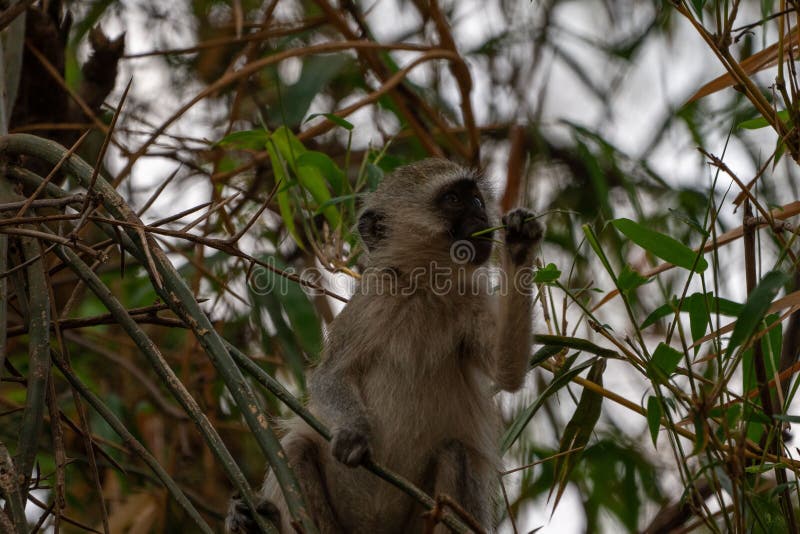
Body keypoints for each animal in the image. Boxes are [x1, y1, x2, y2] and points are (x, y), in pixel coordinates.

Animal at [227, 158, 543, 533]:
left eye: (478, 200)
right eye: (453, 199)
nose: (483, 217)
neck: (425, 287)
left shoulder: (473, 298)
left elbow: (507, 372)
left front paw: (520, 244)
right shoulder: (374, 298)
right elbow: (329, 376)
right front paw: (354, 432)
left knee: (455, 453)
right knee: (297, 448)